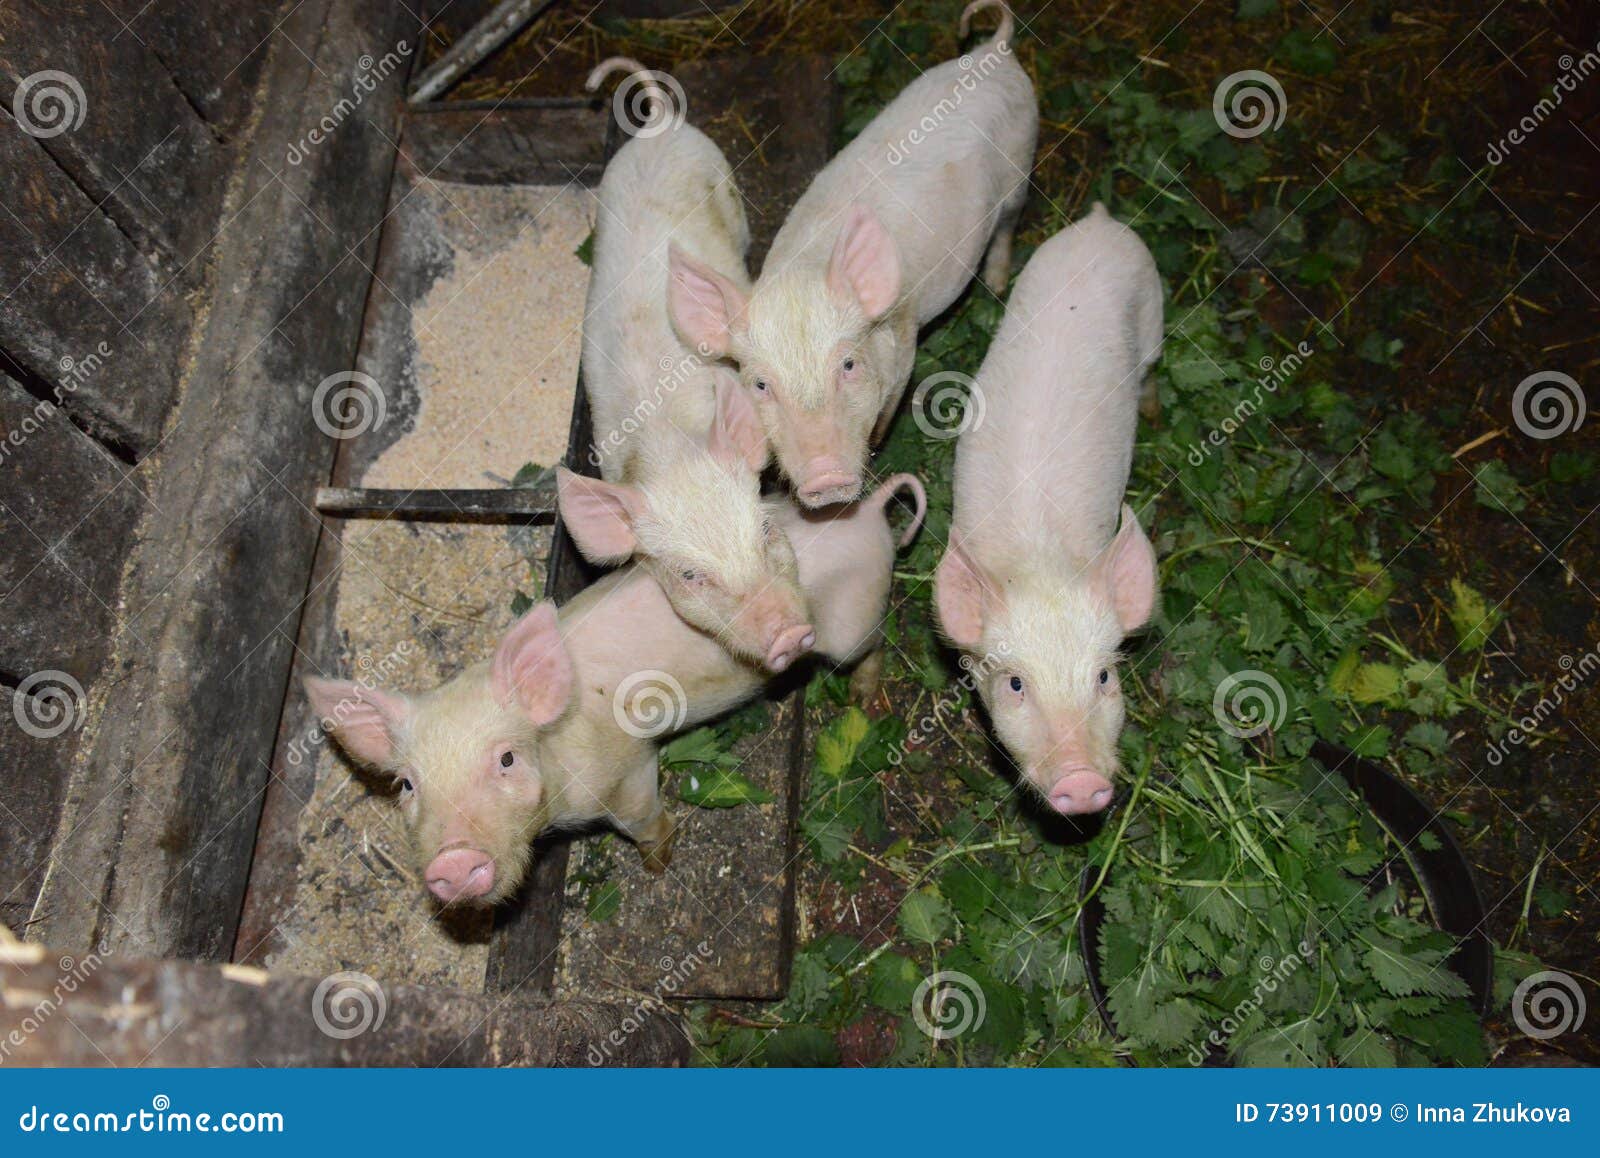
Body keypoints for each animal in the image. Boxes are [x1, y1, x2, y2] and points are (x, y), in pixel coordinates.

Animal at [304, 475, 926, 905]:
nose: (452, 863)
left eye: (506, 759)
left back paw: (863, 699)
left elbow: (644, 823)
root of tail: (871, 509)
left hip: (850, 623)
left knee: (870, 648)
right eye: (408, 786)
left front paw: (656, 868)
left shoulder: (629, 770)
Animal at [567, 58, 814, 674]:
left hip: (722, 179)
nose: (791, 635)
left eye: (765, 529)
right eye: (690, 575)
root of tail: (658, 123)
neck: (669, 442)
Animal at [666, 0, 1037, 507]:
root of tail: (996, 50)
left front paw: (877, 446)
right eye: (761, 384)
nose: (825, 477)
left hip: (1021, 171)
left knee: (1007, 226)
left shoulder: (905, 345)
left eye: (848, 365)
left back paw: (998, 282)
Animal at [933, 203, 1162, 818]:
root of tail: (1099, 222)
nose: (1080, 783)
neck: (1038, 559)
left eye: (1104, 677)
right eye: (1016, 684)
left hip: (1154, 307)